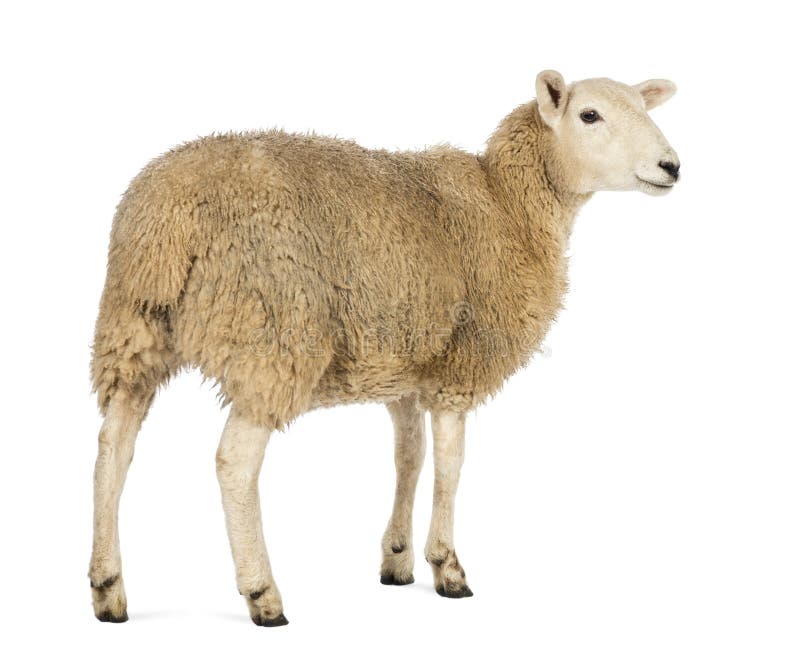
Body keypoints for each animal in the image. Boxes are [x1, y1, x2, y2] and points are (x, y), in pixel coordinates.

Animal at [89, 70, 679, 626]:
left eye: (641, 106)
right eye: (589, 114)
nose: (672, 166)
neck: (508, 205)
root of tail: (172, 220)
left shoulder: (406, 368)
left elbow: (408, 457)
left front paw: (396, 559)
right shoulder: (458, 366)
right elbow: (450, 466)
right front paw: (447, 567)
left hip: (133, 331)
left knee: (113, 449)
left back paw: (107, 588)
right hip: (272, 337)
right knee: (232, 464)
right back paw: (263, 595)